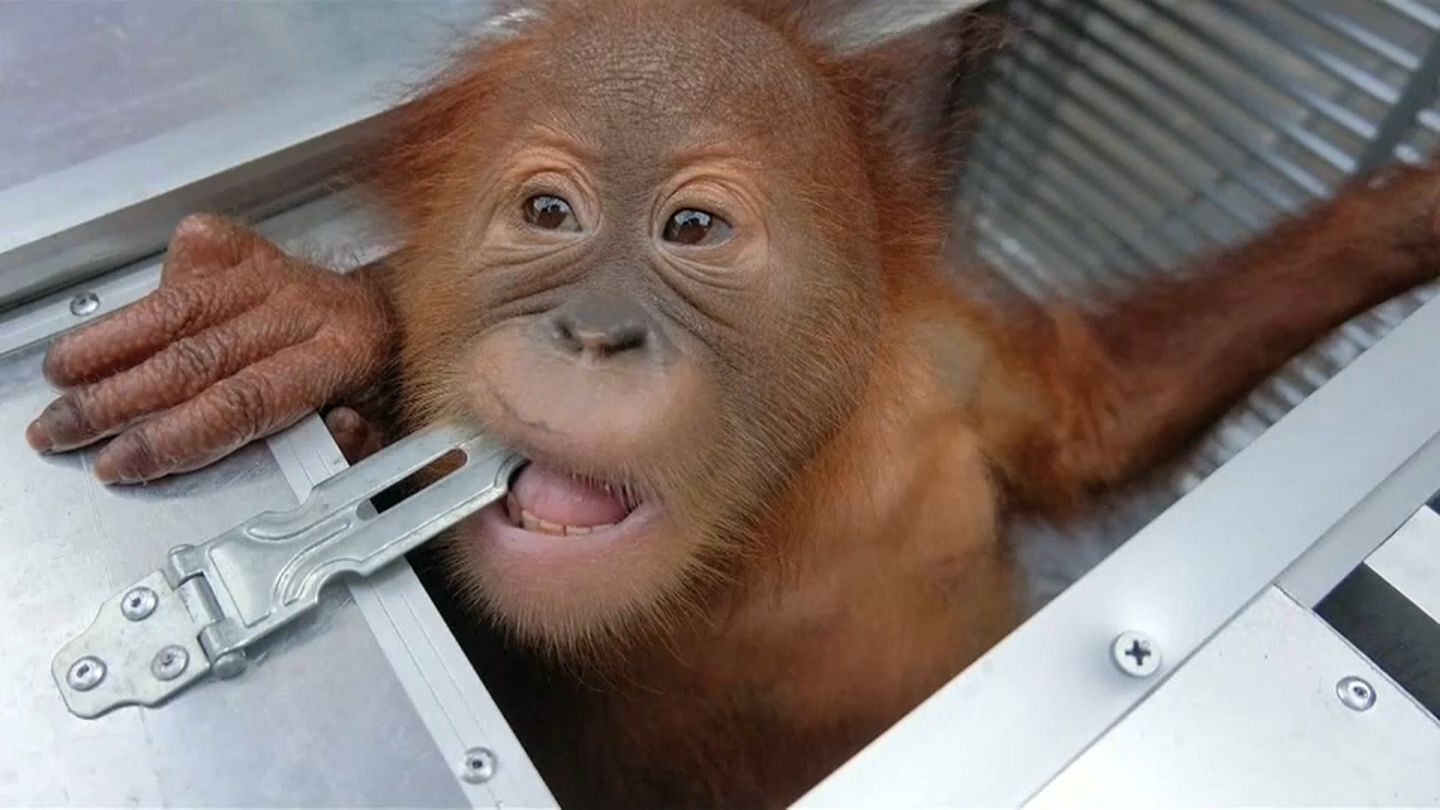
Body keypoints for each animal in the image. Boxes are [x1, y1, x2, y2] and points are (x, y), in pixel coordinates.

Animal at [23, 1, 1440, 807]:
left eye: (693, 229)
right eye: (549, 212)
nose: (594, 331)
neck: (761, 520)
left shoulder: (952, 365)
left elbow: (1096, 417)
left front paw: (1409, 211)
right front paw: (306, 325)